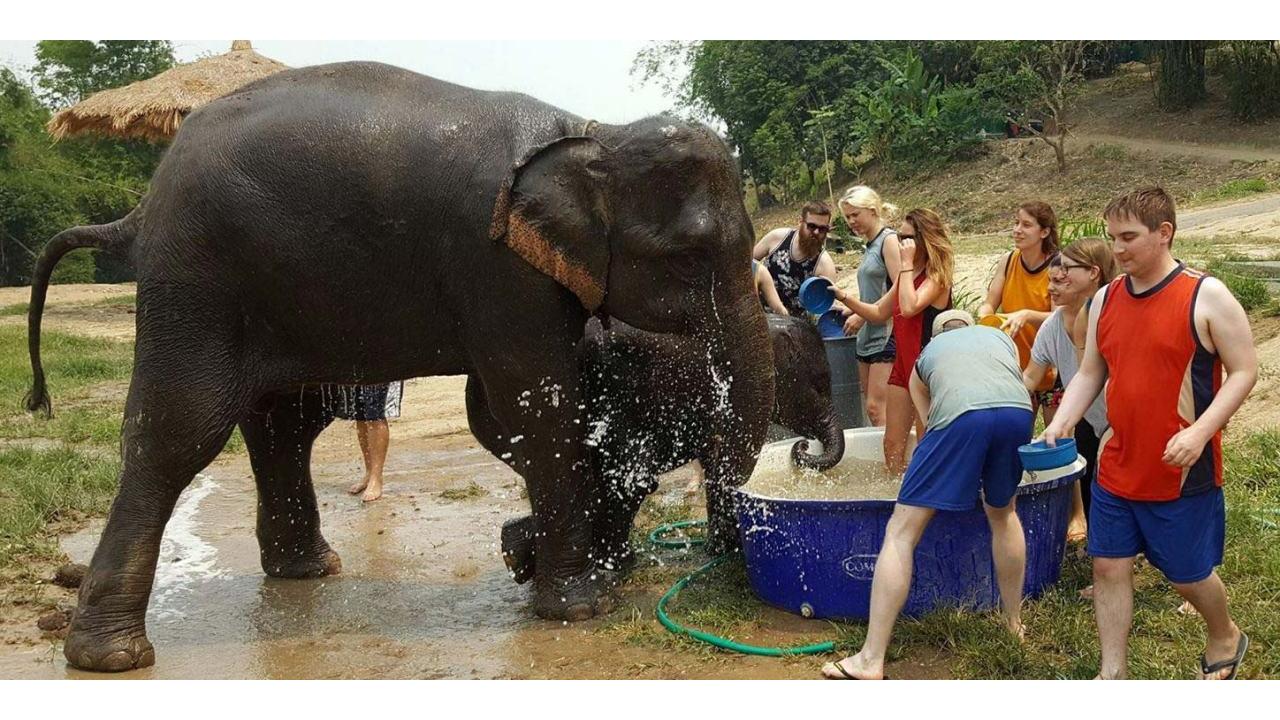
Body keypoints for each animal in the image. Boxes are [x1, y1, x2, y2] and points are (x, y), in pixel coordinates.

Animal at [24, 61, 773, 672]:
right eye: (685, 258)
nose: (724, 556)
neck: (593, 135)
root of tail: (142, 206)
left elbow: (505, 407)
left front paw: (554, 561)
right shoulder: (498, 267)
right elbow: (535, 401)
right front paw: (582, 606)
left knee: (283, 426)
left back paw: (308, 571)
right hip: (195, 278)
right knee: (179, 431)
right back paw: (112, 656)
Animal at [467, 313, 844, 583]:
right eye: (820, 384)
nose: (802, 448)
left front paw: (718, 550)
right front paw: (726, 550)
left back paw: (516, 555)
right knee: (619, 478)